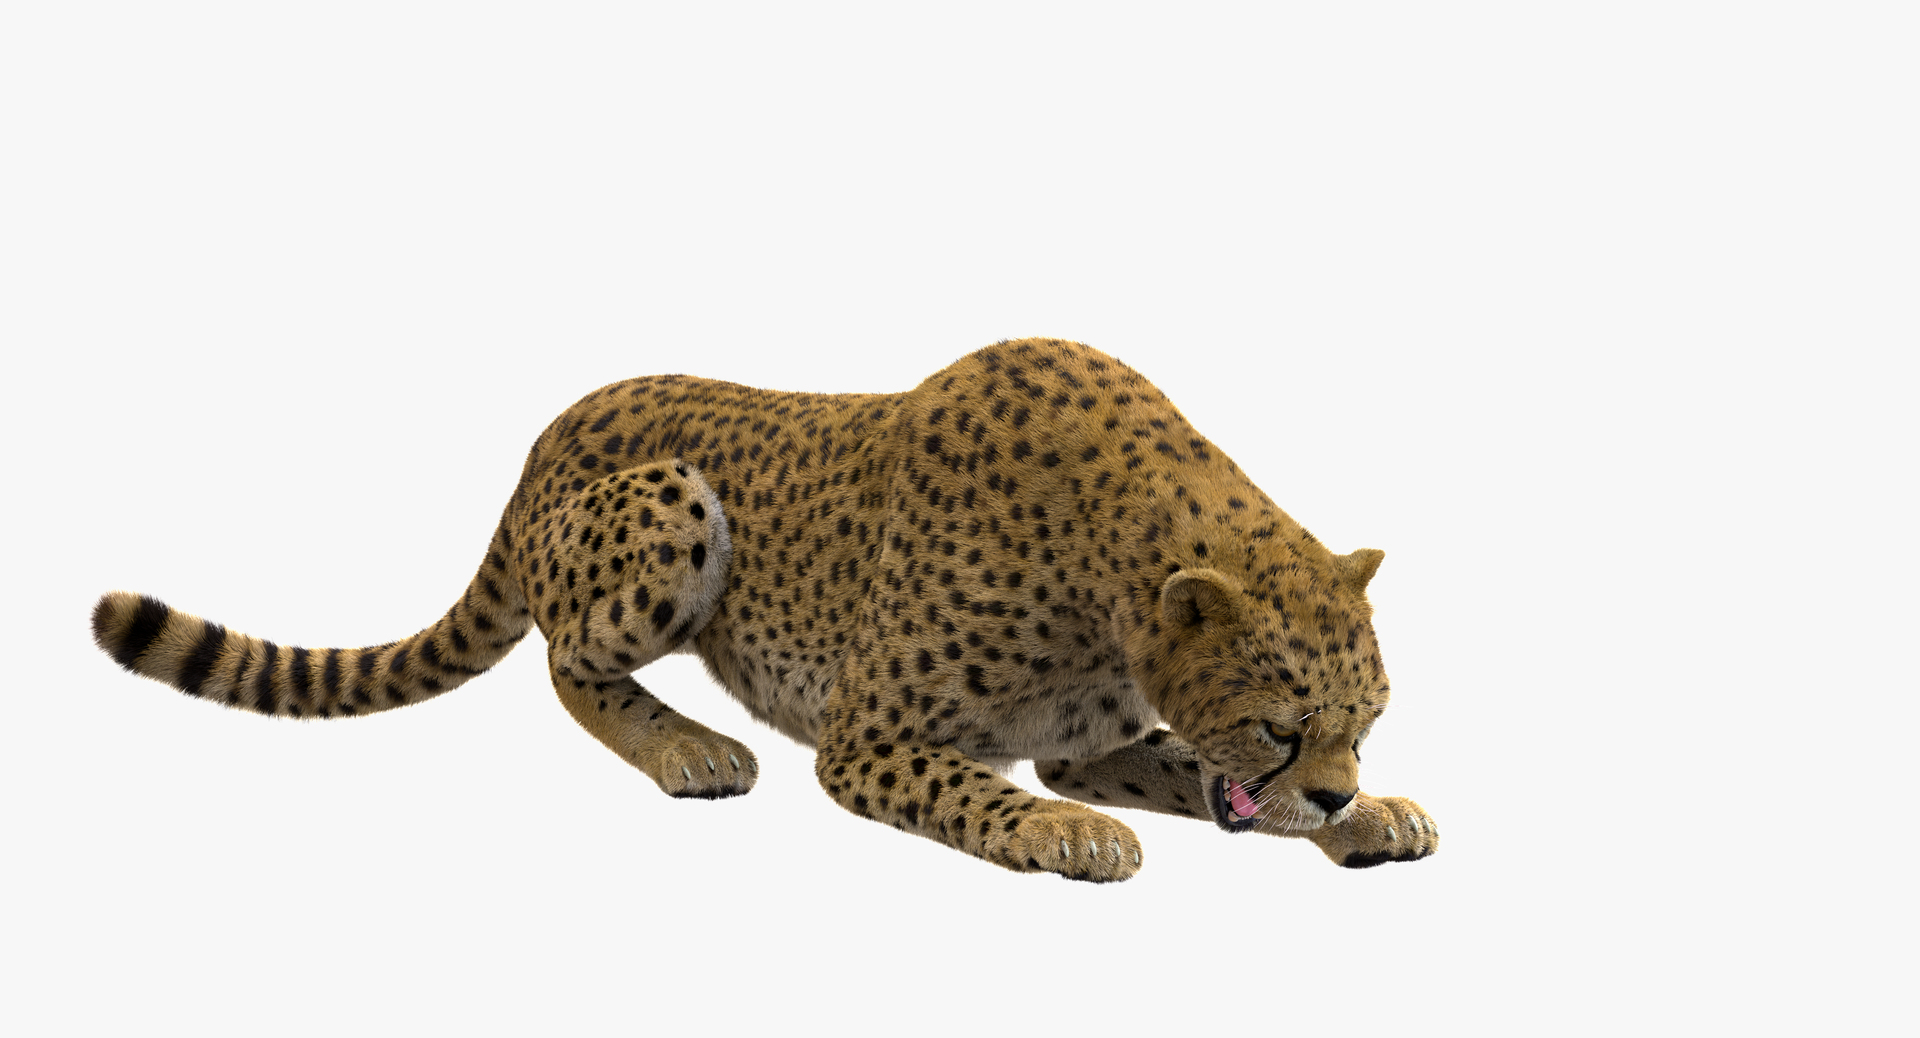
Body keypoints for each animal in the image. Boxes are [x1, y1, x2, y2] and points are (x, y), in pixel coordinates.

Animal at [91, 337, 1438, 881]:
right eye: (1280, 724)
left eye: (1364, 723)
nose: (1334, 789)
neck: (1113, 565)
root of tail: (557, 424)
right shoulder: (869, 735)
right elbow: (989, 793)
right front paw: (1074, 838)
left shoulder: (1083, 740)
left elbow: (1181, 778)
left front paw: (1365, 818)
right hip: (678, 499)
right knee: (565, 664)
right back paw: (688, 746)